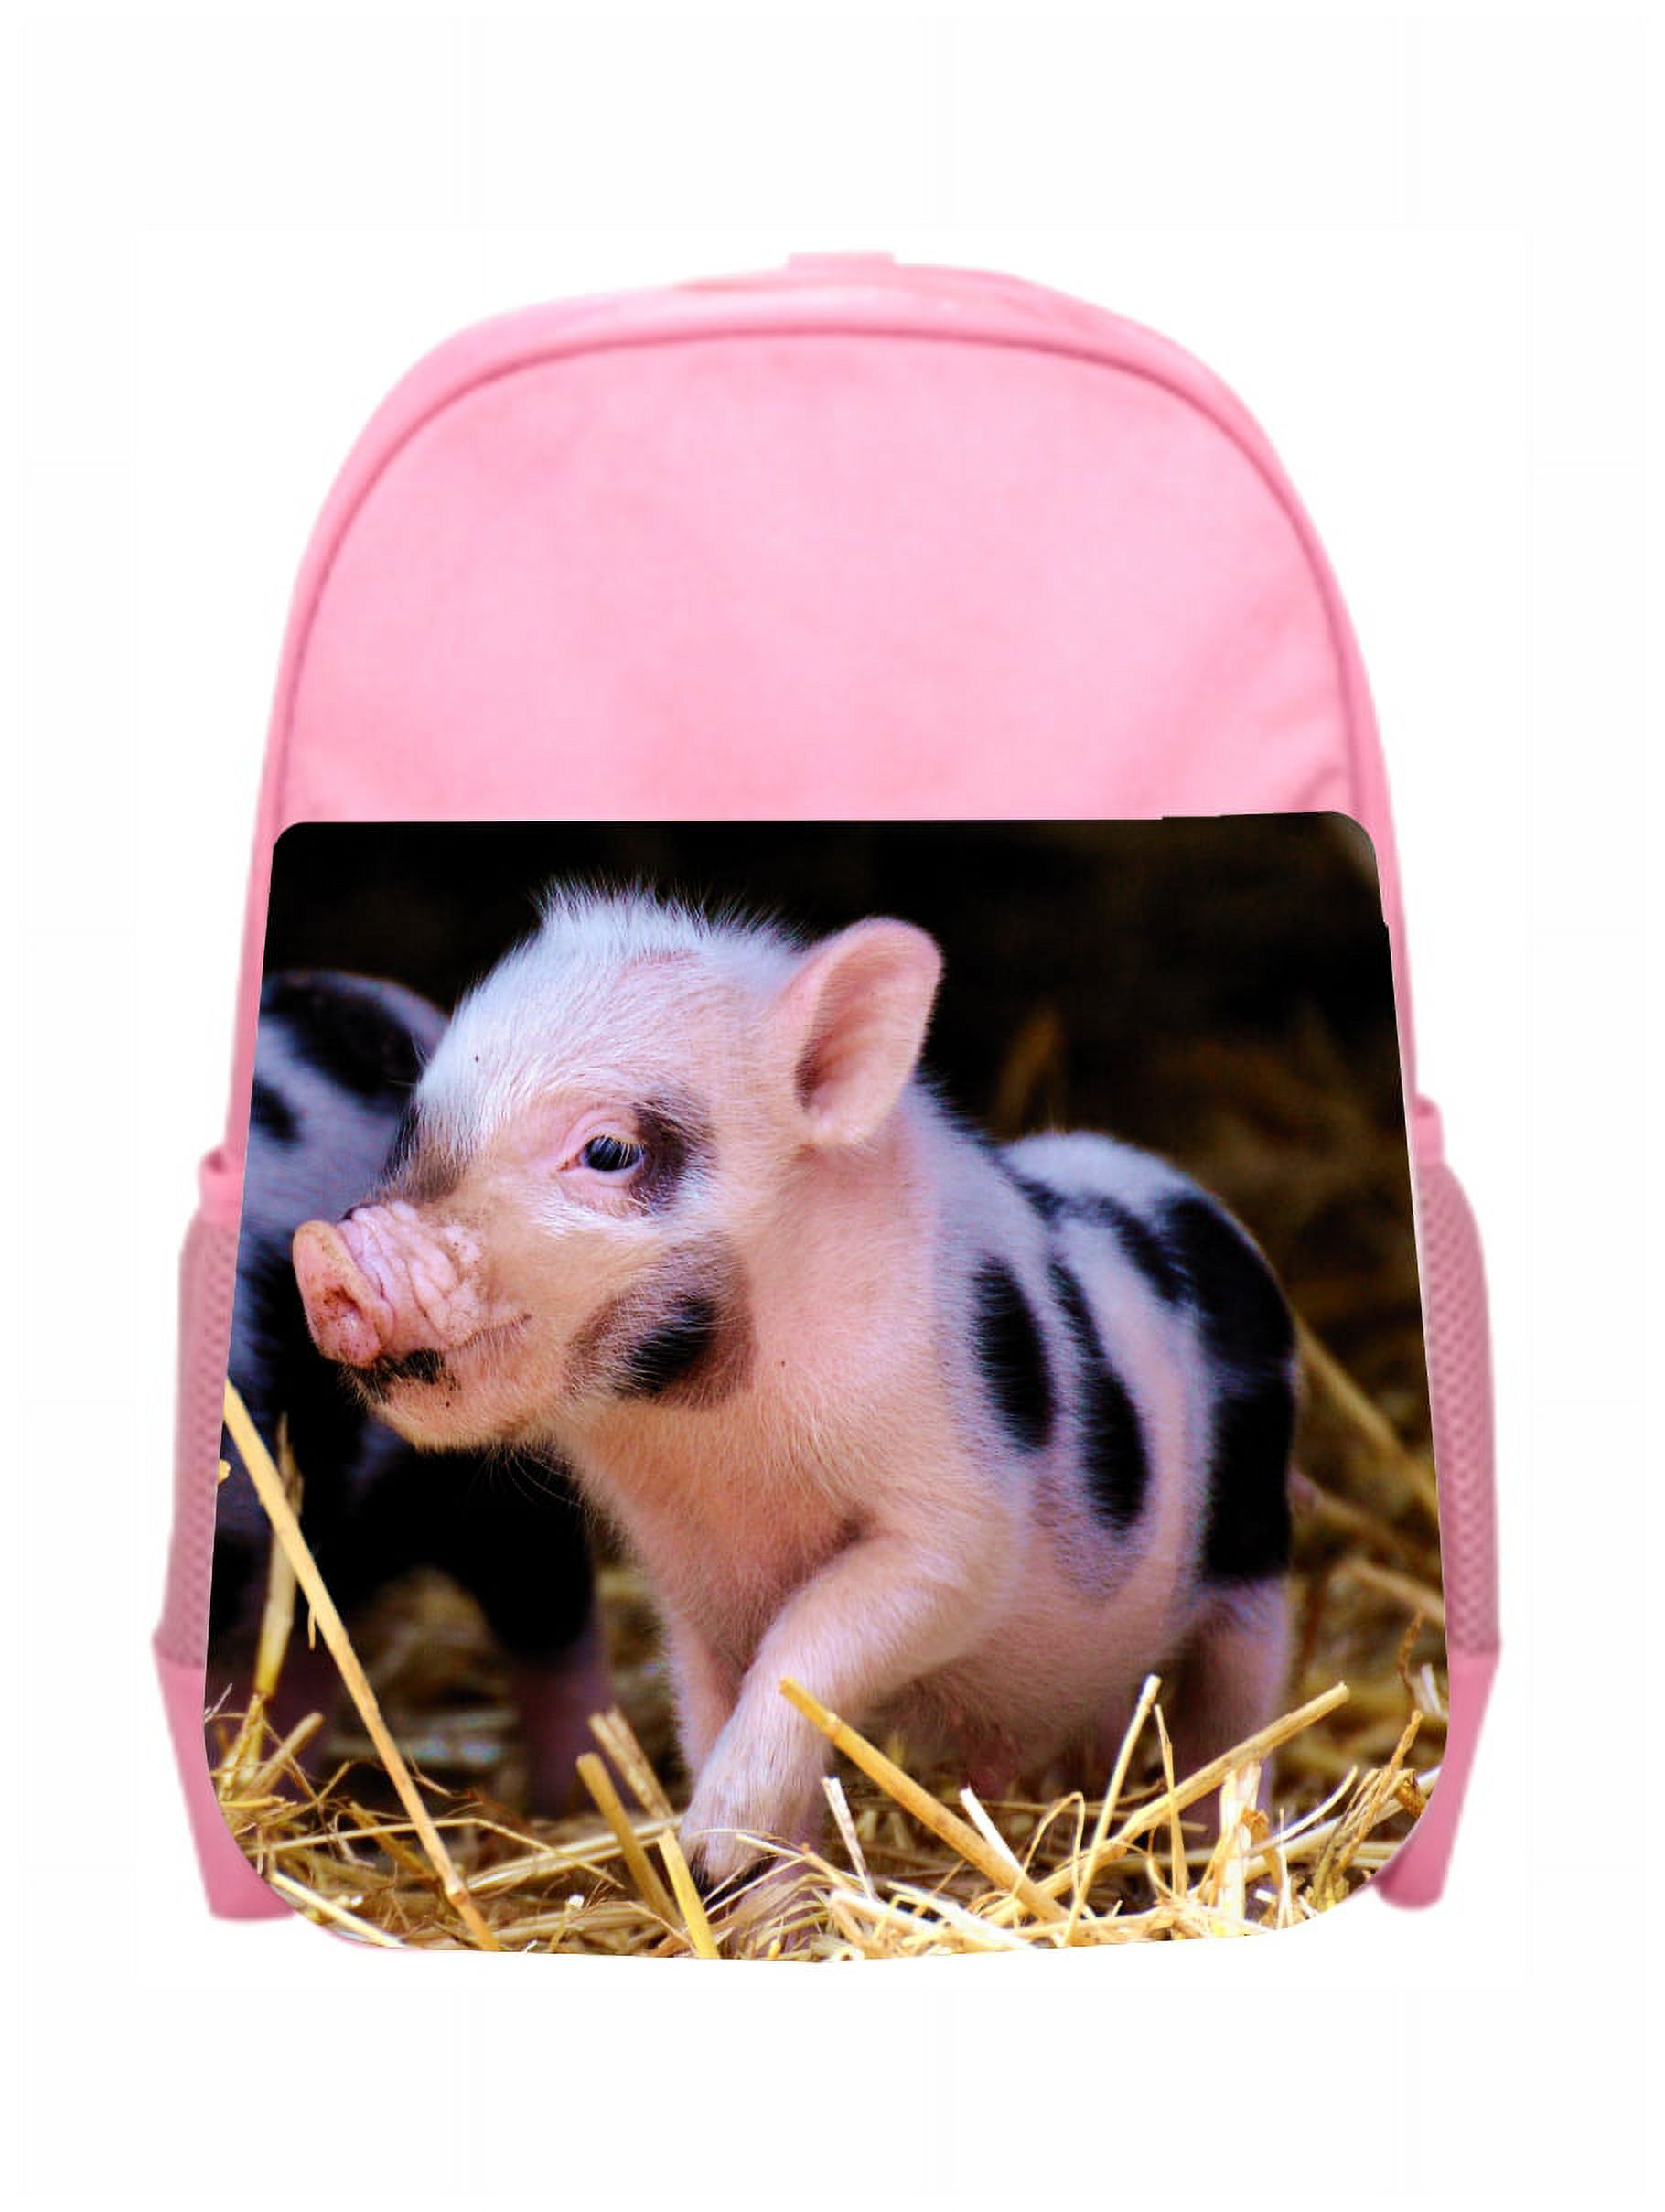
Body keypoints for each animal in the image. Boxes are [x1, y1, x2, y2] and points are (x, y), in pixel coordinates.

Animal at [291, 896, 1295, 1893]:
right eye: (413, 1130)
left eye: (608, 1150)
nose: (329, 1257)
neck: (714, 1443)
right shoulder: (684, 1580)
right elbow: (709, 1704)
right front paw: (742, 1889)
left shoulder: (955, 1519)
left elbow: (813, 1641)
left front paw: (713, 1842)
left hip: (1254, 1550)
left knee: (1236, 1716)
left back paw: (1221, 1858)